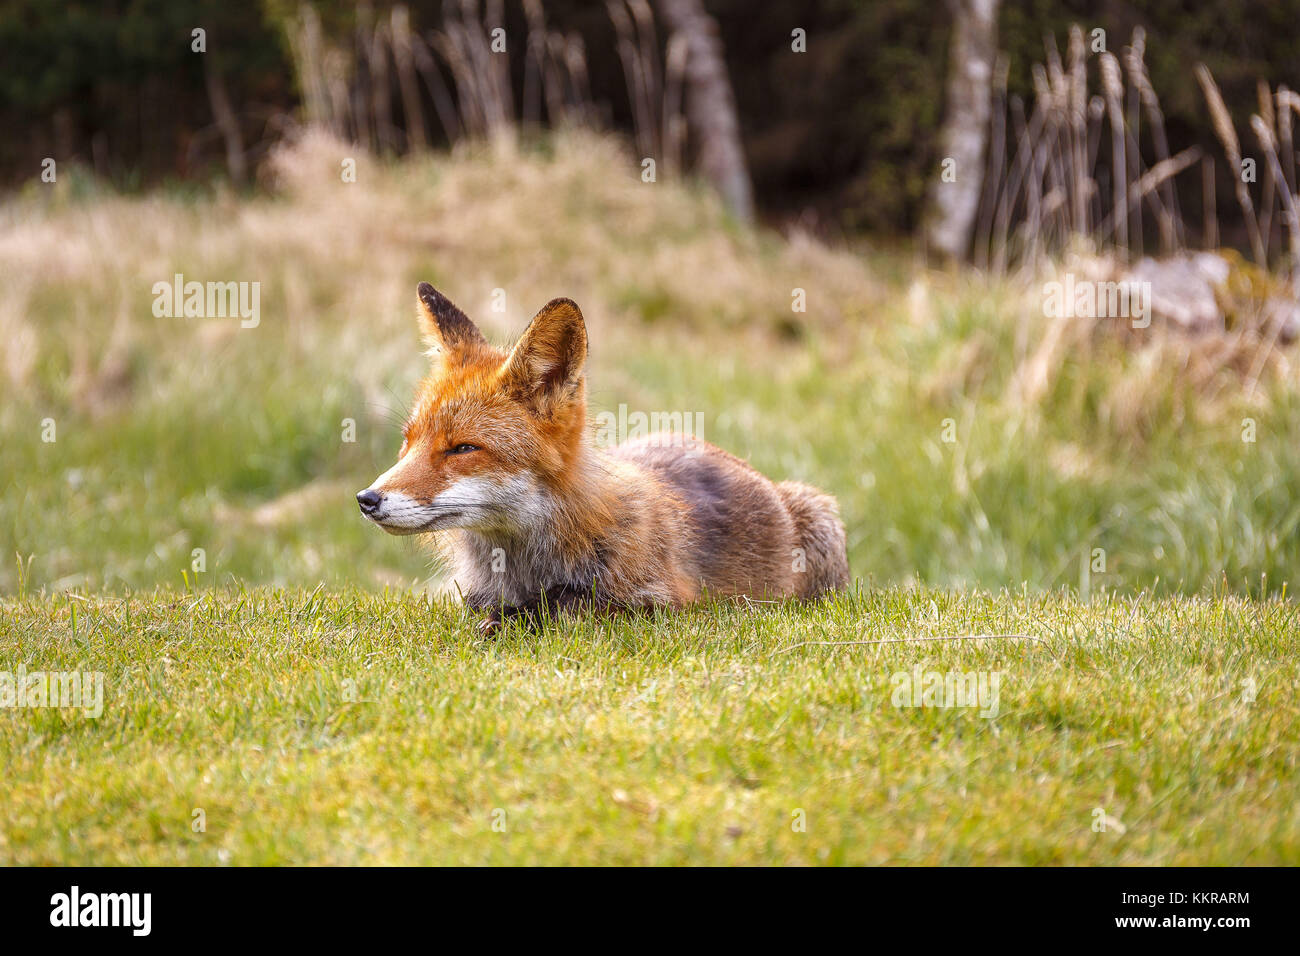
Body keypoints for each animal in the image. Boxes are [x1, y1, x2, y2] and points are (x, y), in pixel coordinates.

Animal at [357, 282, 849, 631]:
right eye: (408, 442)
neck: (524, 565)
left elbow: (563, 608)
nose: (367, 499)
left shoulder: (662, 604)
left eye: (463, 448)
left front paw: (516, 620)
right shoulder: (474, 595)